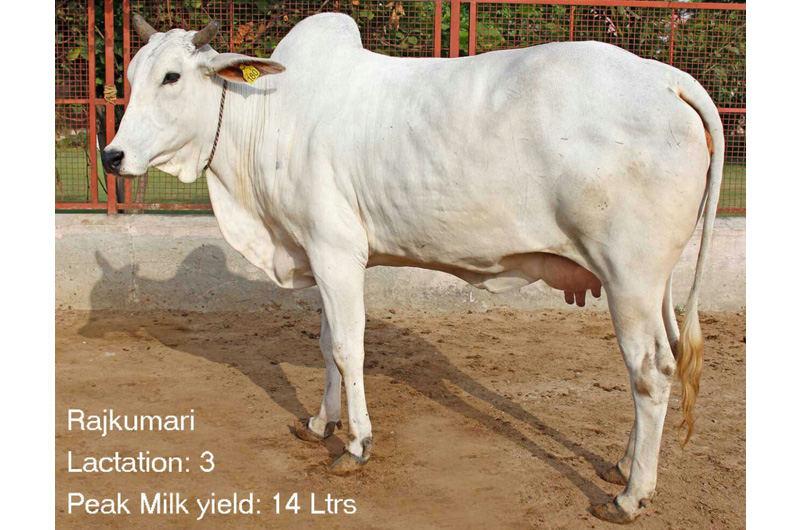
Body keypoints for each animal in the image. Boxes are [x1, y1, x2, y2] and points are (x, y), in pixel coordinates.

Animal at [102, 13, 723, 523]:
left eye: (172, 77)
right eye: (131, 76)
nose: (112, 156)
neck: (270, 112)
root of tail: (666, 77)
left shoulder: (335, 251)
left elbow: (348, 347)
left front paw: (356, 445)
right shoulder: (324, 257)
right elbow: (326, 344)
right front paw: (321, 424)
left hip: (630, 275)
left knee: (651, 371)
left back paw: (631, 495)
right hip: (654, 281)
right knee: (663, 360)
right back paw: (621, 465)